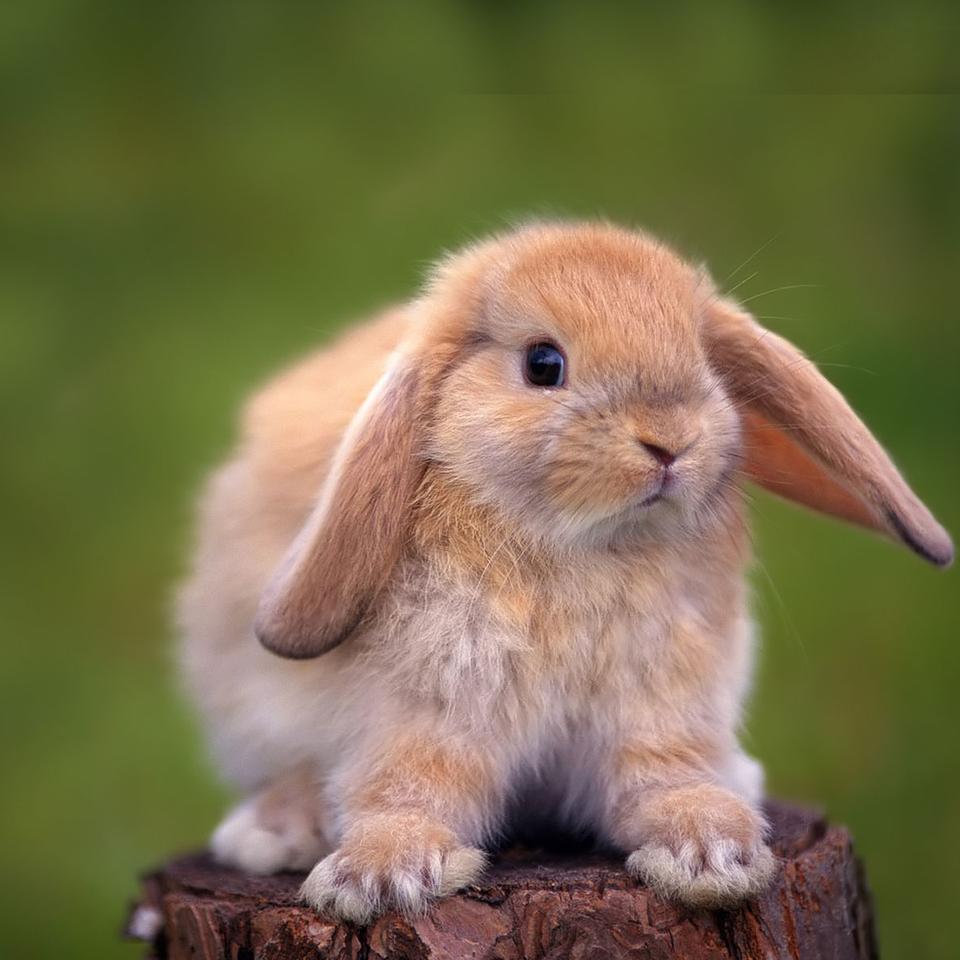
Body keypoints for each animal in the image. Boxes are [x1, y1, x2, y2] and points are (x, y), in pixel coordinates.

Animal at [177, 221, 952, 922]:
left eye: (703, 358)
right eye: (543, 364)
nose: (671, 441)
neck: (584, 544)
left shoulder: (660, 703)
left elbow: (662, 779)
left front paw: (712, 854)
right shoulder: (428, 708)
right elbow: (408, 788)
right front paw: (374, 879)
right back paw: (273, 832)